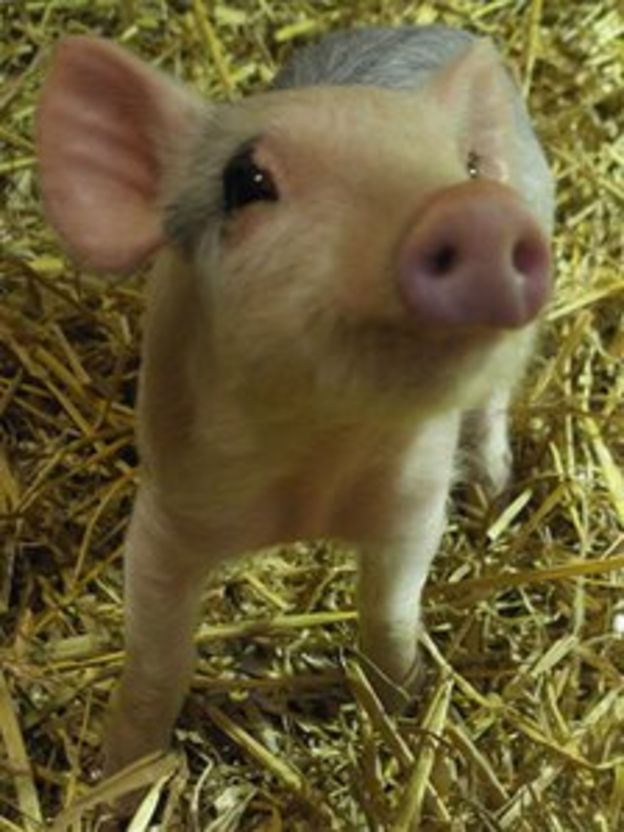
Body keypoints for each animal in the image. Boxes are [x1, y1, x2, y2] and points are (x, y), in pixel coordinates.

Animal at [36, 25, 554, 777]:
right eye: (246, 181)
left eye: (469, 169)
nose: (477, 209)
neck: (311, 476)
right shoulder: (167, 509)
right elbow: (157, 661)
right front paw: (121, 782)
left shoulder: (411, 507)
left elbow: (391, 610)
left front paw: (399, 707)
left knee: (491, 403)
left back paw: (492, 494)